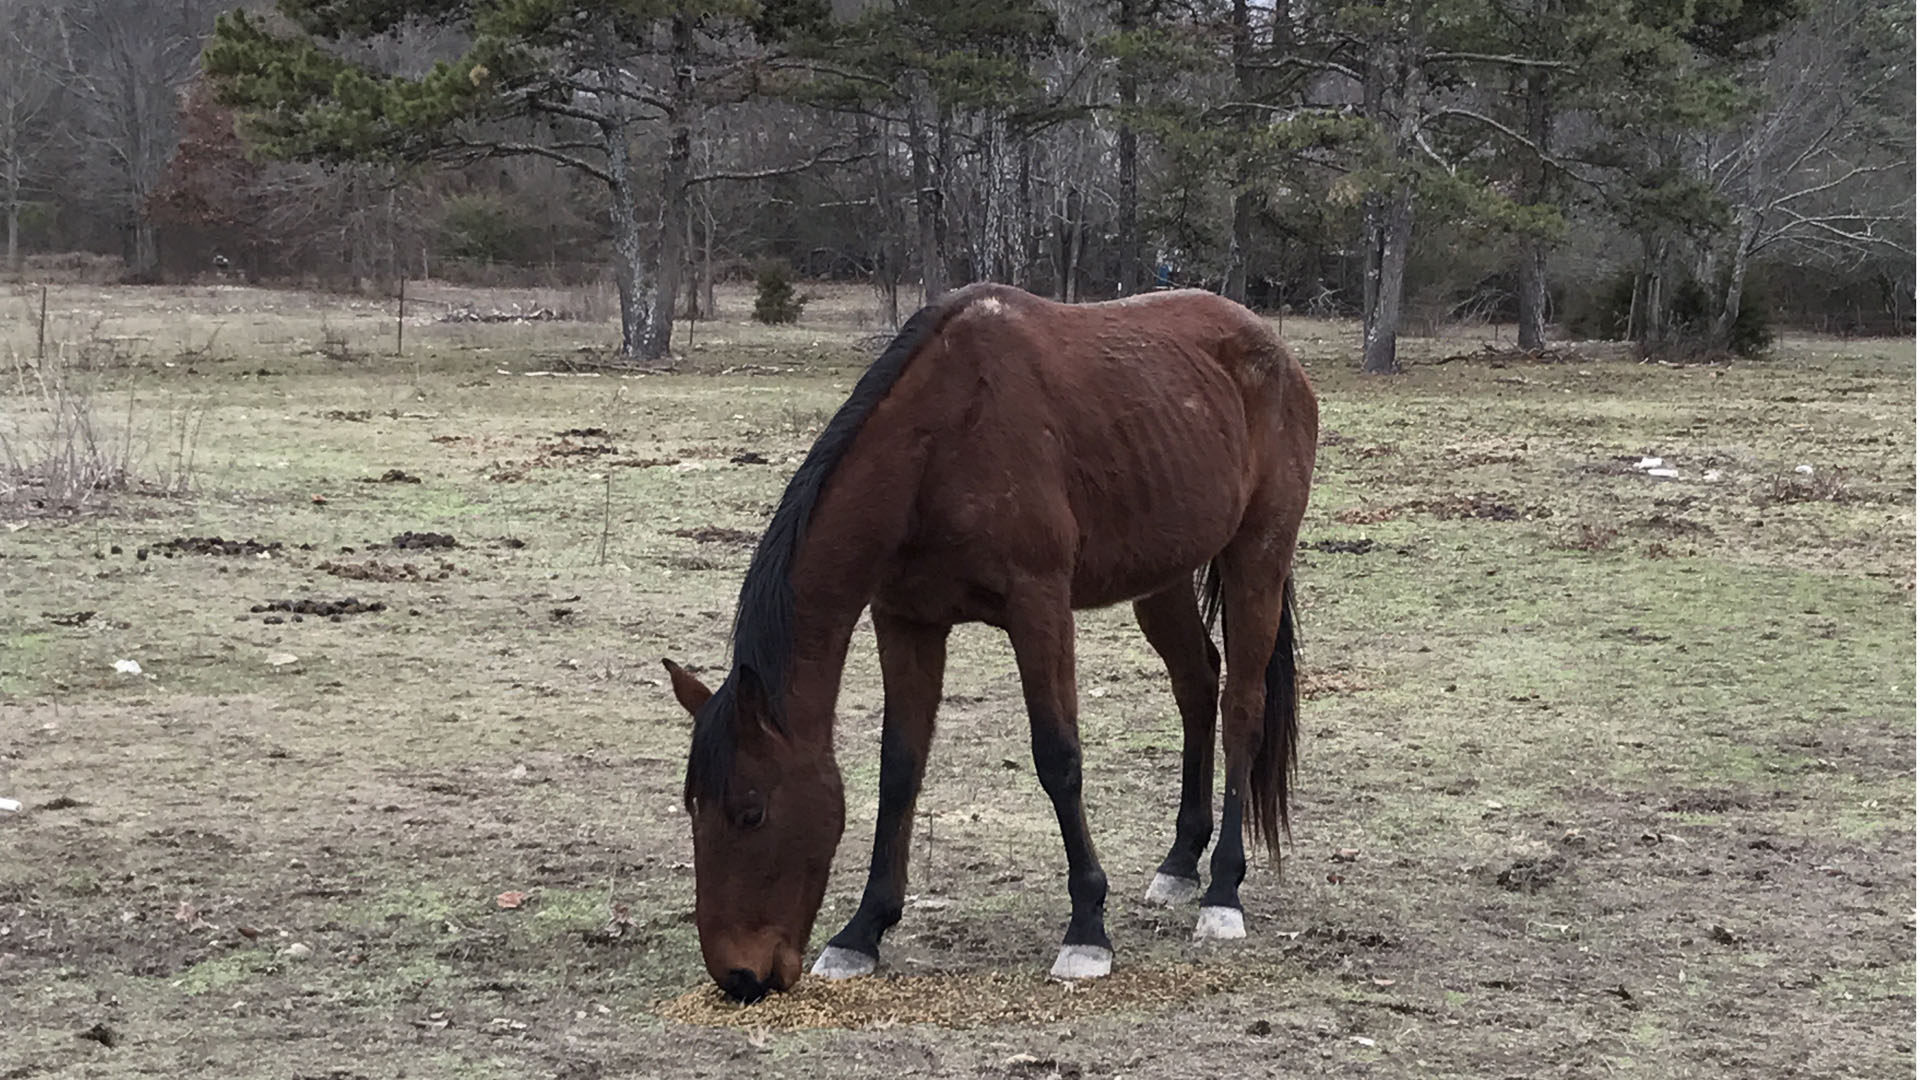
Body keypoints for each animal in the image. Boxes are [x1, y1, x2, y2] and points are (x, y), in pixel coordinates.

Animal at [664, 282, 1317, 1002]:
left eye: (750, 811)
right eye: (693, 808)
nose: (738, 975)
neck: (937, 445)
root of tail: (1273, 349)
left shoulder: (1039, 608)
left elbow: (1058, 758)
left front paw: (1087, 930)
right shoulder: (906, 621)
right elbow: (900, 767)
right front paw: (862, 932)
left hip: (1257, 556)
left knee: (1241, 709)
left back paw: (1223, 893)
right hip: (1163, 574)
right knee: (1197, 684)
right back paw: (1178, 864)